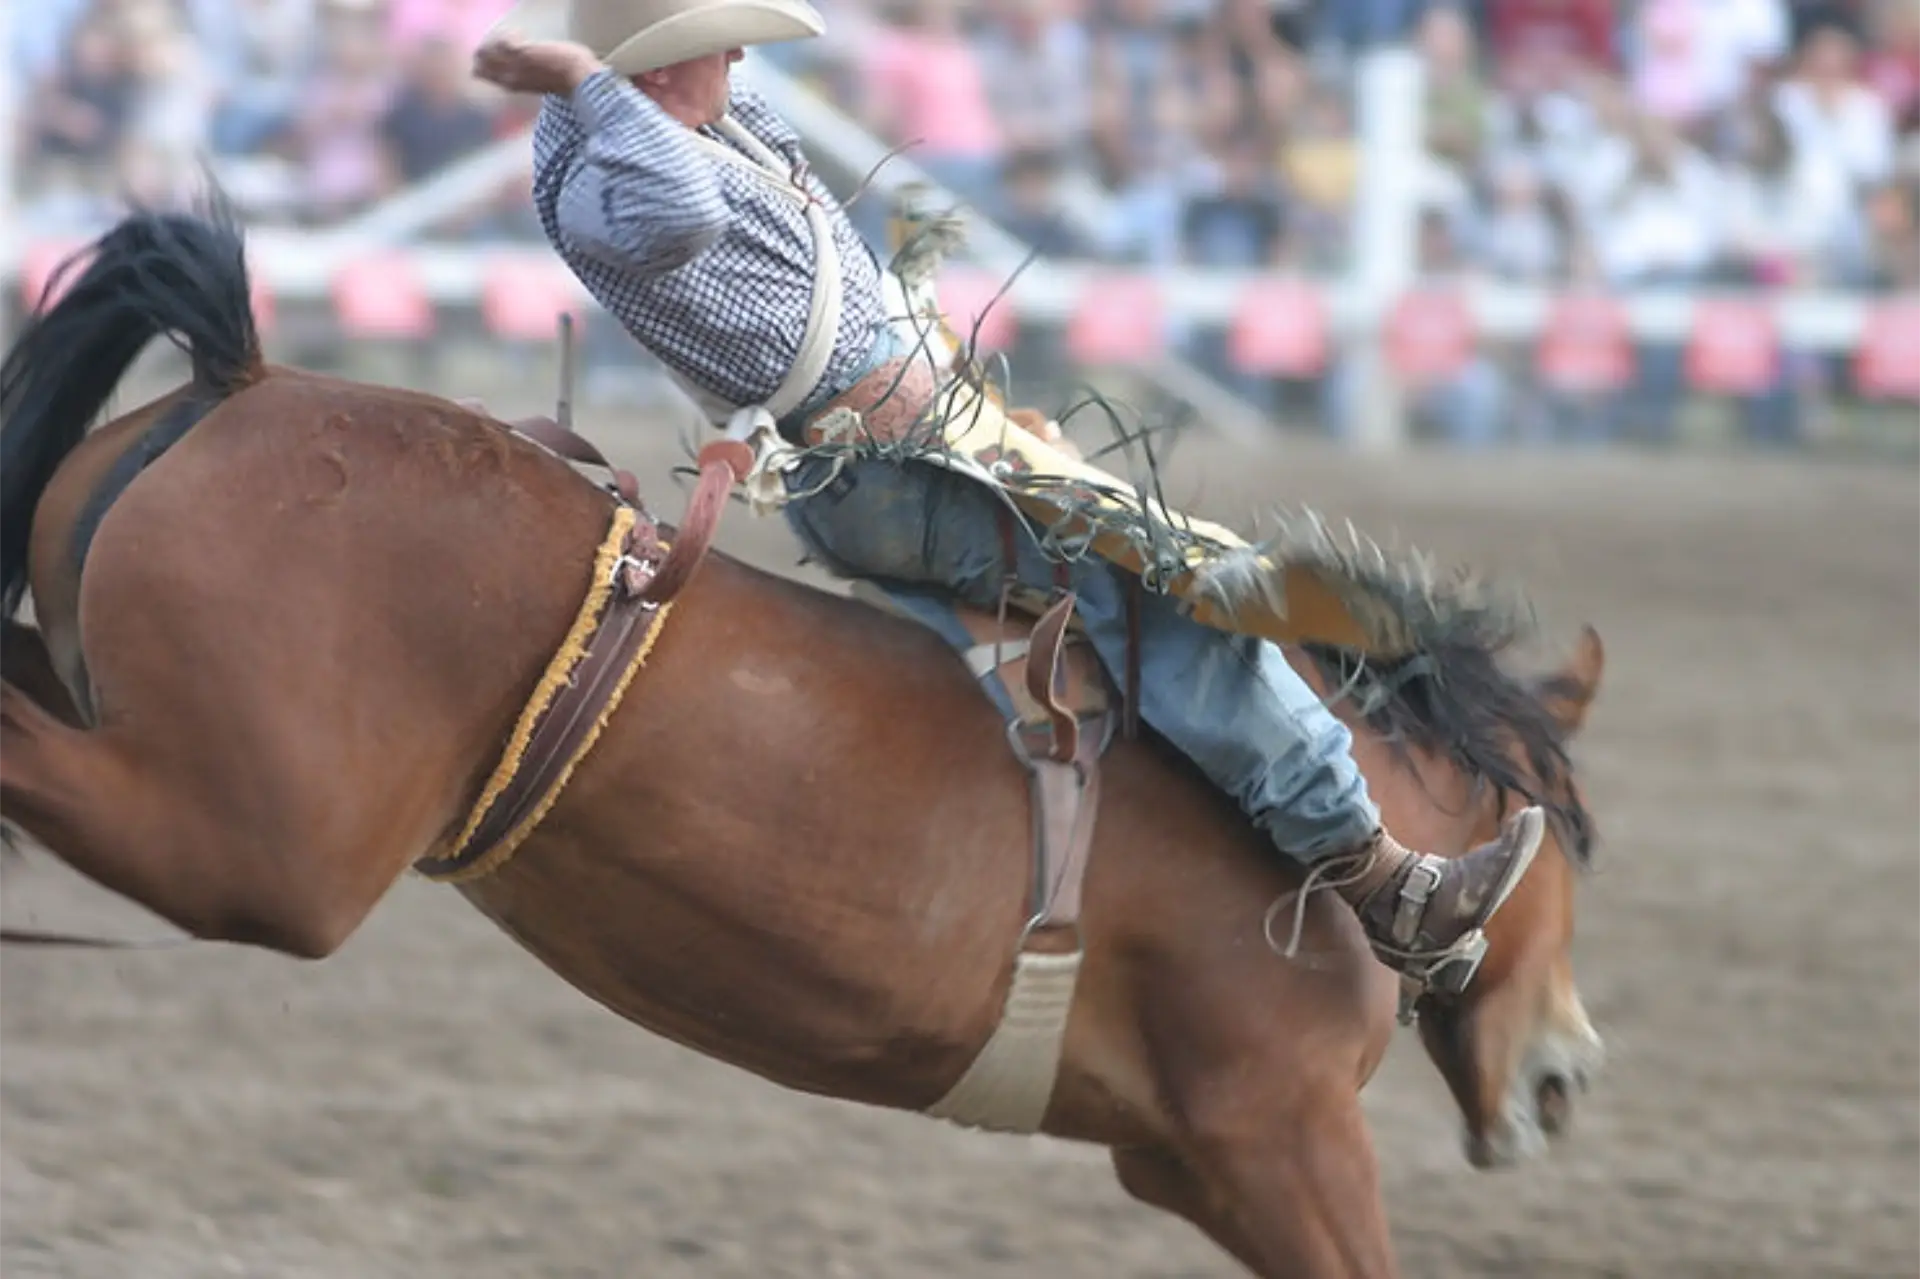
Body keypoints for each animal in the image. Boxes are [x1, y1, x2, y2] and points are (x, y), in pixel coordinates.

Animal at [0, 205, 1607, 1278]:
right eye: (1575, 855)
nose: (1565, 1080)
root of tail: (246, 383)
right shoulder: (1281, 1136)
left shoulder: (1181, 1160)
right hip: (258, 852)